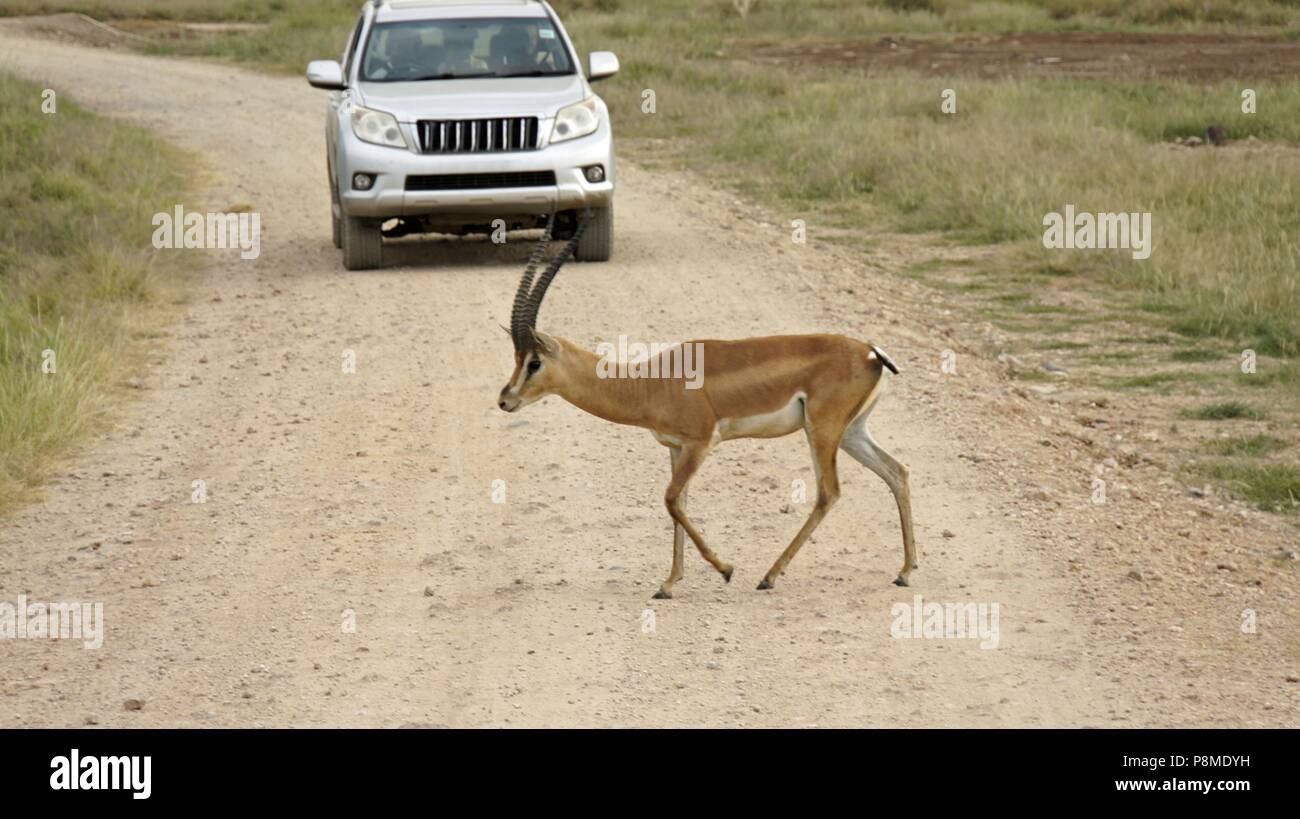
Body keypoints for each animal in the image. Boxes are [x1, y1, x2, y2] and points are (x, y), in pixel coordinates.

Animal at [498, 212, 917, 597]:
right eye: (517, 358)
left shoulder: (701, 443)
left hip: (823, 431)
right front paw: (668, 584)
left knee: (828, 492)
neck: (648, 381)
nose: (505, 400)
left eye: (533, 362)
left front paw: (725, 570)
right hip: (851, 432)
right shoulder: (676, 448)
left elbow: (670, 499)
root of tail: (870, 352)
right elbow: (678, 503)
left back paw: (768, 576)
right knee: (897, 472)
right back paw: (904, 572)